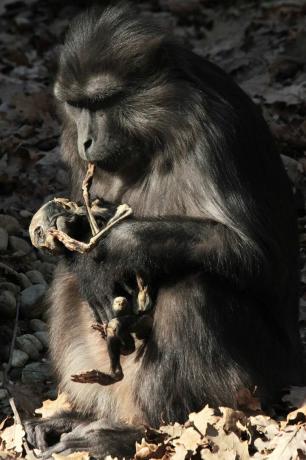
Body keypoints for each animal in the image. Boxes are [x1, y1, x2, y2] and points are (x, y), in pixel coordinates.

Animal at [25, 1, 304, 458]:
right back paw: (82, 416)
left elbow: (254, 255)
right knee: (68, 278)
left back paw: (136, 431)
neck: (158, 125)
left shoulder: (213, 130)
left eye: (102, 102)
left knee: (191, 289)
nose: (86, 141)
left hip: (264, 380)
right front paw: (60, 221)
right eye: (77, 105)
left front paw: (110, 251)